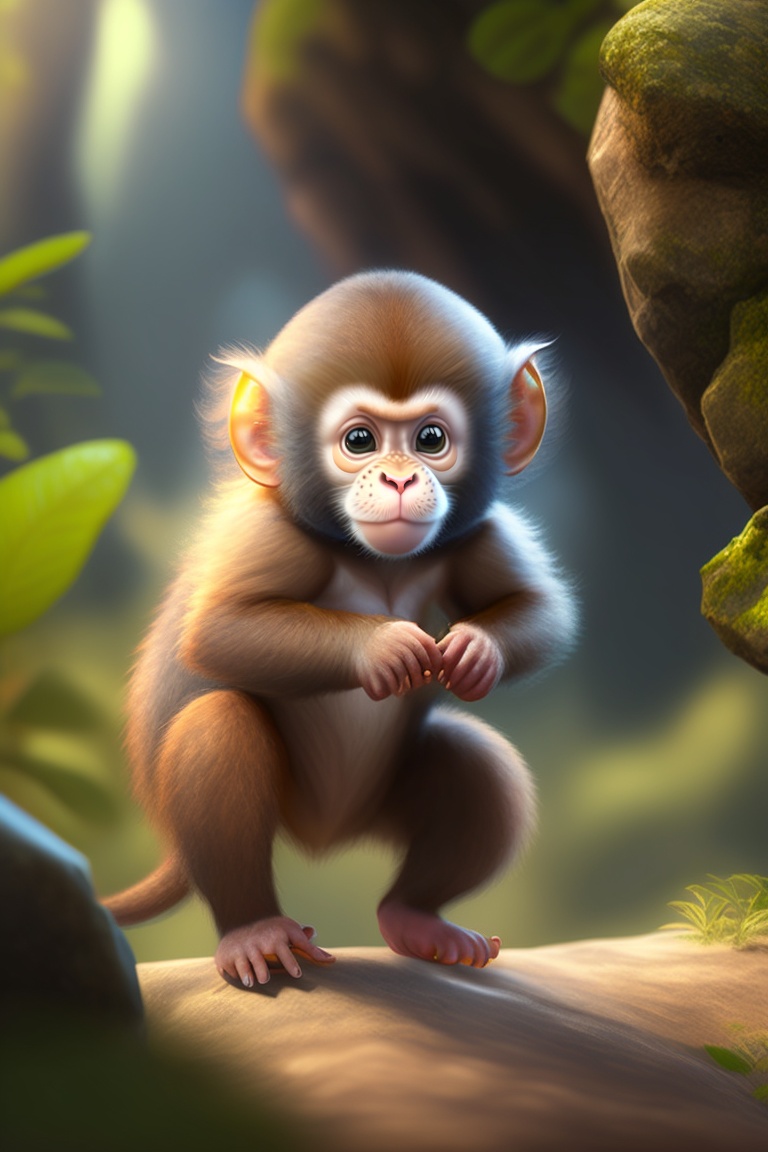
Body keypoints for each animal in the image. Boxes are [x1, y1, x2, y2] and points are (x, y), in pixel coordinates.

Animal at [104, 270, 577, 988]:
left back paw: (418, 921)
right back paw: (253, 928)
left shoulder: (481, 529)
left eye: (431, 439)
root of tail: (326, 838)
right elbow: (218, 629)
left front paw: (477, 650)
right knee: (219, 727)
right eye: (359, 441)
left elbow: (540, 606)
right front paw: (382, 646)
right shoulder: (267, 531)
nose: (401, 478)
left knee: (481, 768)